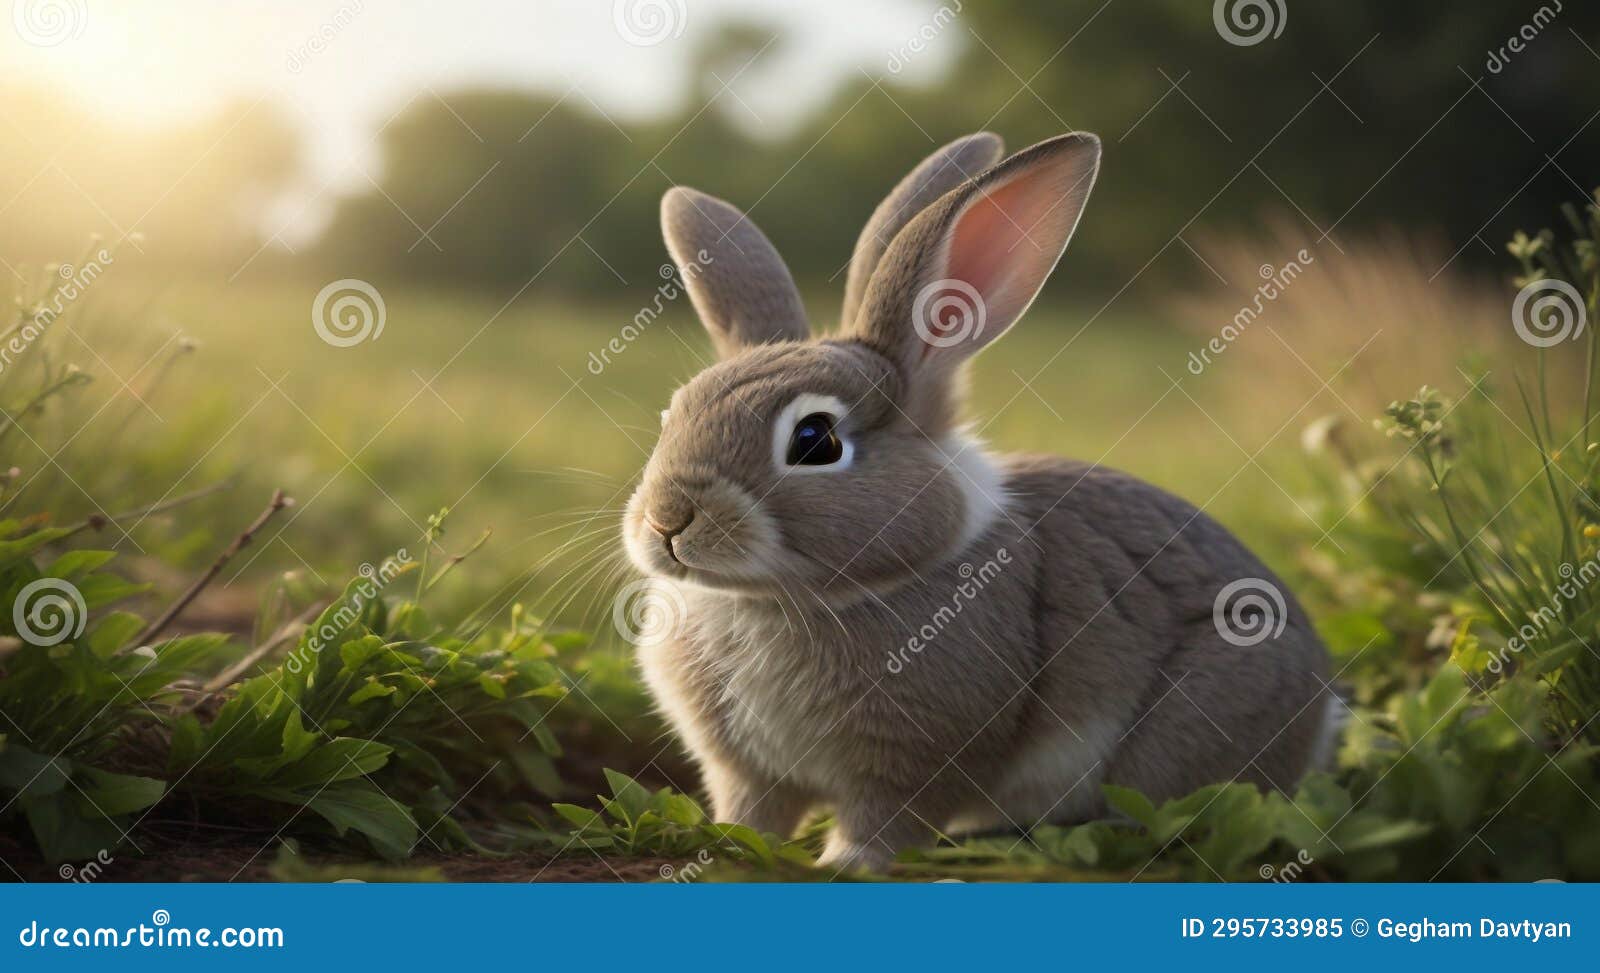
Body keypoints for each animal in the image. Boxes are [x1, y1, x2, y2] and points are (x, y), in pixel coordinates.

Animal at [621, 131, 1338, 872]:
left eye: (815, 440)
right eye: (674, 412)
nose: (669, 519)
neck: (776, 597)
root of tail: (1319, 716)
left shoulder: (912, 763)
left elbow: (883, 822)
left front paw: (844, 866)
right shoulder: (747, 770)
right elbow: (754, 811)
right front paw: (727, 846)